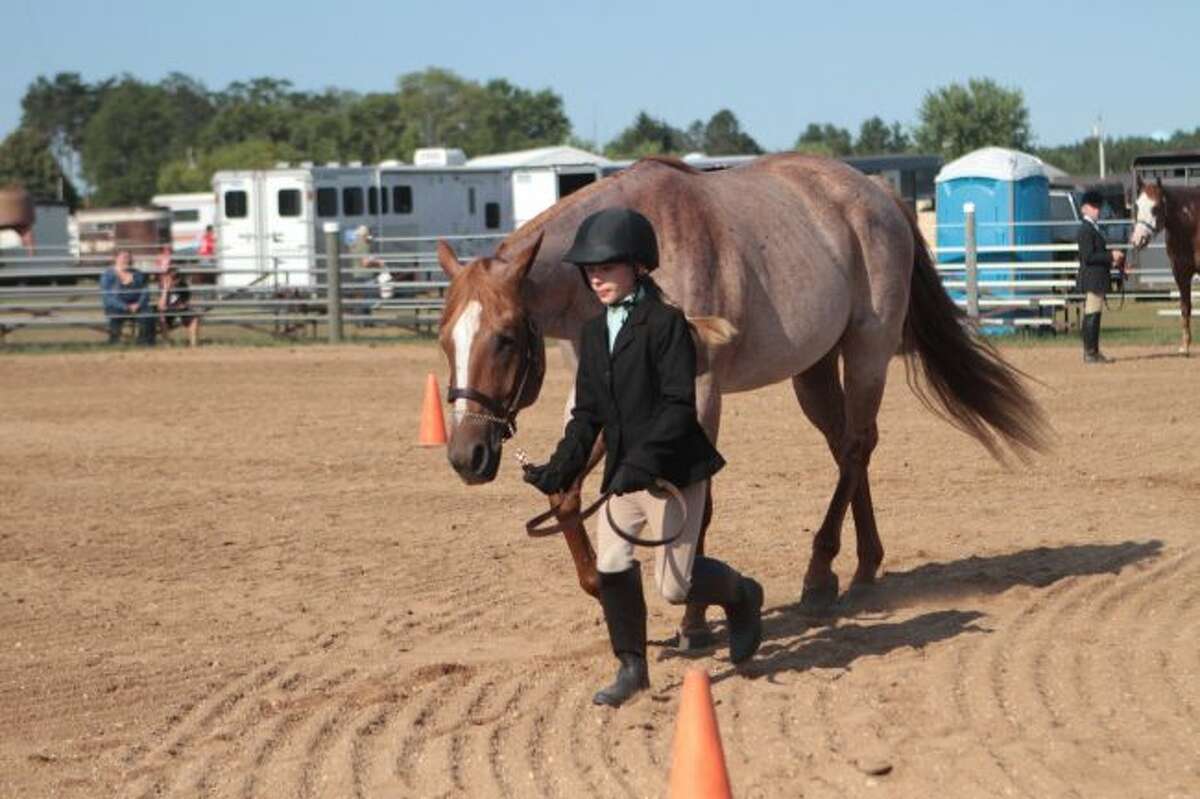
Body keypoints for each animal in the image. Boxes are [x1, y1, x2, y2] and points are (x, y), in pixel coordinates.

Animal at [435, 153, 1049, 635]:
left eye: (505, 338)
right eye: (445, 339)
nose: (467, 456)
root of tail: (880, 195)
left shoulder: (699, 394)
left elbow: (694, 505)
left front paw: (693, 619)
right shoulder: (600, 396)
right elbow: (565, 496)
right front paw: (602, 586)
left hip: (868, 351)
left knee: (855, 448)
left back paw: (821, 575)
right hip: (814, 370)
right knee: (849, 449)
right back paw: (864, 567)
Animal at [1130, 177, 1200, 355]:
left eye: (1155, 208)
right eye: (1137, 205)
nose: (1138, 239)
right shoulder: (1181, 273)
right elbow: (1185, 307)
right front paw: (1185, 346)